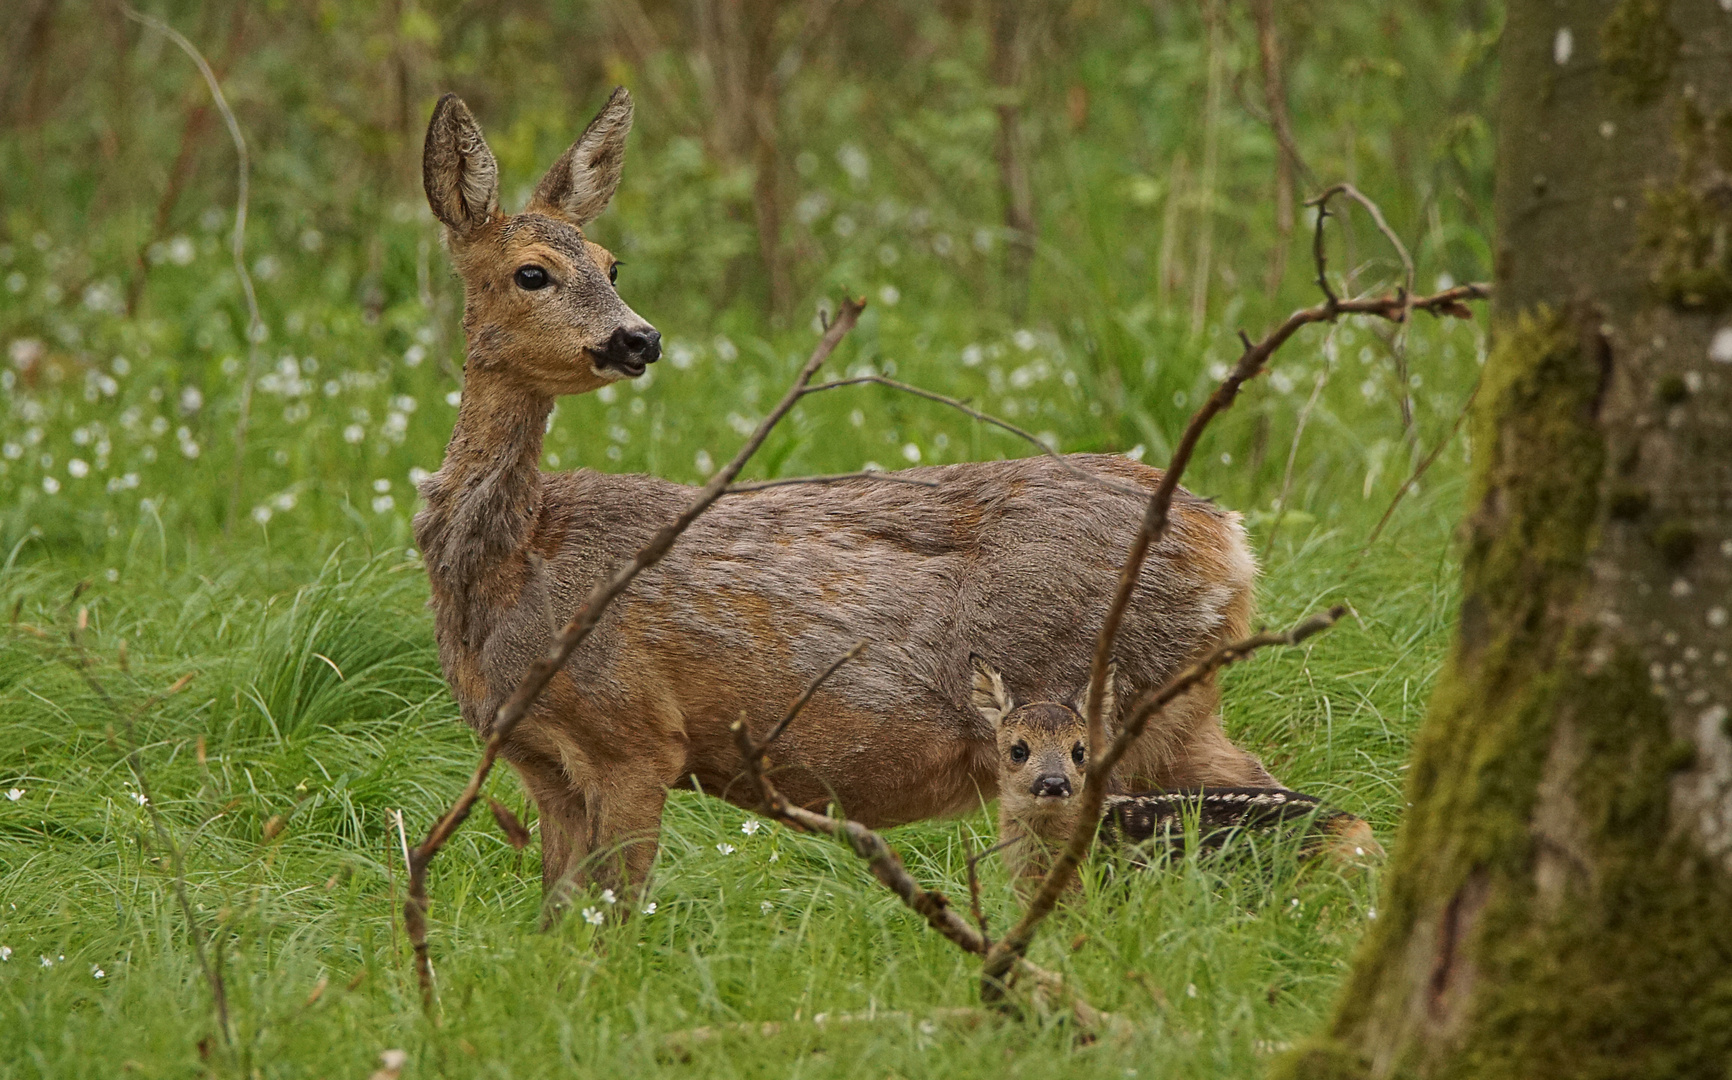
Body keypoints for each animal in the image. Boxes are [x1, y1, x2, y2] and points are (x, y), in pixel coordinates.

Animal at [412, 88, 1281, 906]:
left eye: (610, 263)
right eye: (532, 272)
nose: (639, 338)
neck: (514, 563)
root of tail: (1230, 543)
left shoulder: (635, 735)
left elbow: (619, 909)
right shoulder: (535, 756)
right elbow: (560, 915)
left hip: (1101, 712)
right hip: (1170, 711)